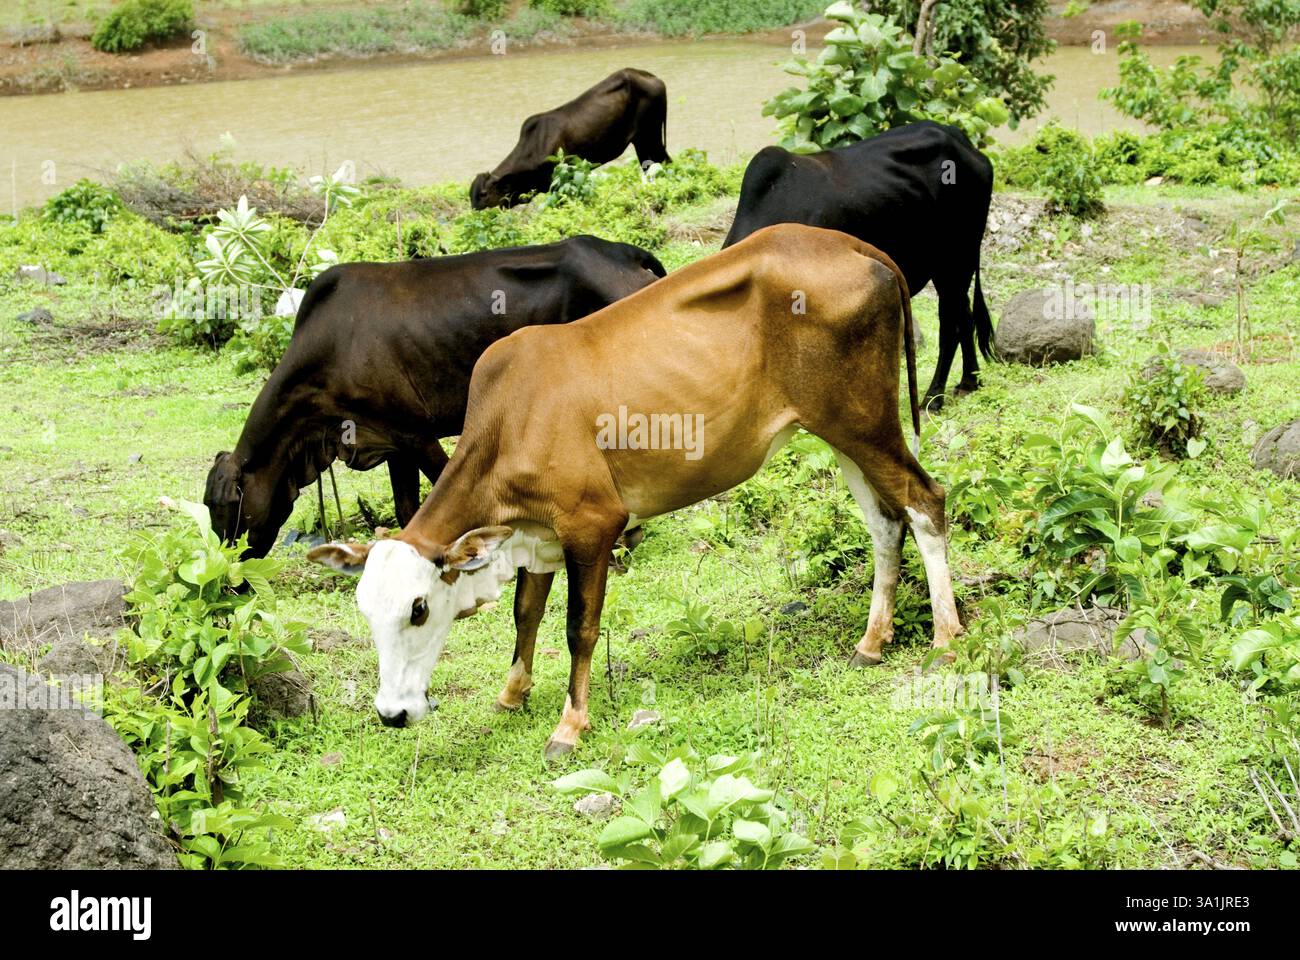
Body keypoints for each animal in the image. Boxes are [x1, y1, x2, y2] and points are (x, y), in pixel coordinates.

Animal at [205, 236, 666, 559]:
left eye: (226, 507)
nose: (228, 572)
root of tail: (625, 252)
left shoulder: (415, 432)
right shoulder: (389, 443)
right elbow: (407, 507)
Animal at [308, 224, 963, 757]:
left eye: (418, 609)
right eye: (366, 609)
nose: (392, 714)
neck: (509, 420)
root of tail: (851, 245)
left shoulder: (592, 524)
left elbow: (579, 625)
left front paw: (570, 725)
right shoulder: (535, 535)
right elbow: (525, 613)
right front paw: (514, 692)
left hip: (864, 422)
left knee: (926, 502)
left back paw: (946, 639)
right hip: (838, 429)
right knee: (885, 521)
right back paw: (872, 641)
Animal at [469, 68, 671, 210]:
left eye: (483, 194)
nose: (474, 208)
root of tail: (657, 79)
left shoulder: (561, 178)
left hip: (649, 134)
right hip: (643, 140)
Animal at [723, 121, 995, 409]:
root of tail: (964, 141)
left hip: (954, 260)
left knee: (951, 323)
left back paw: (933, 398)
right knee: (965, 315)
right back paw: (968, 382)